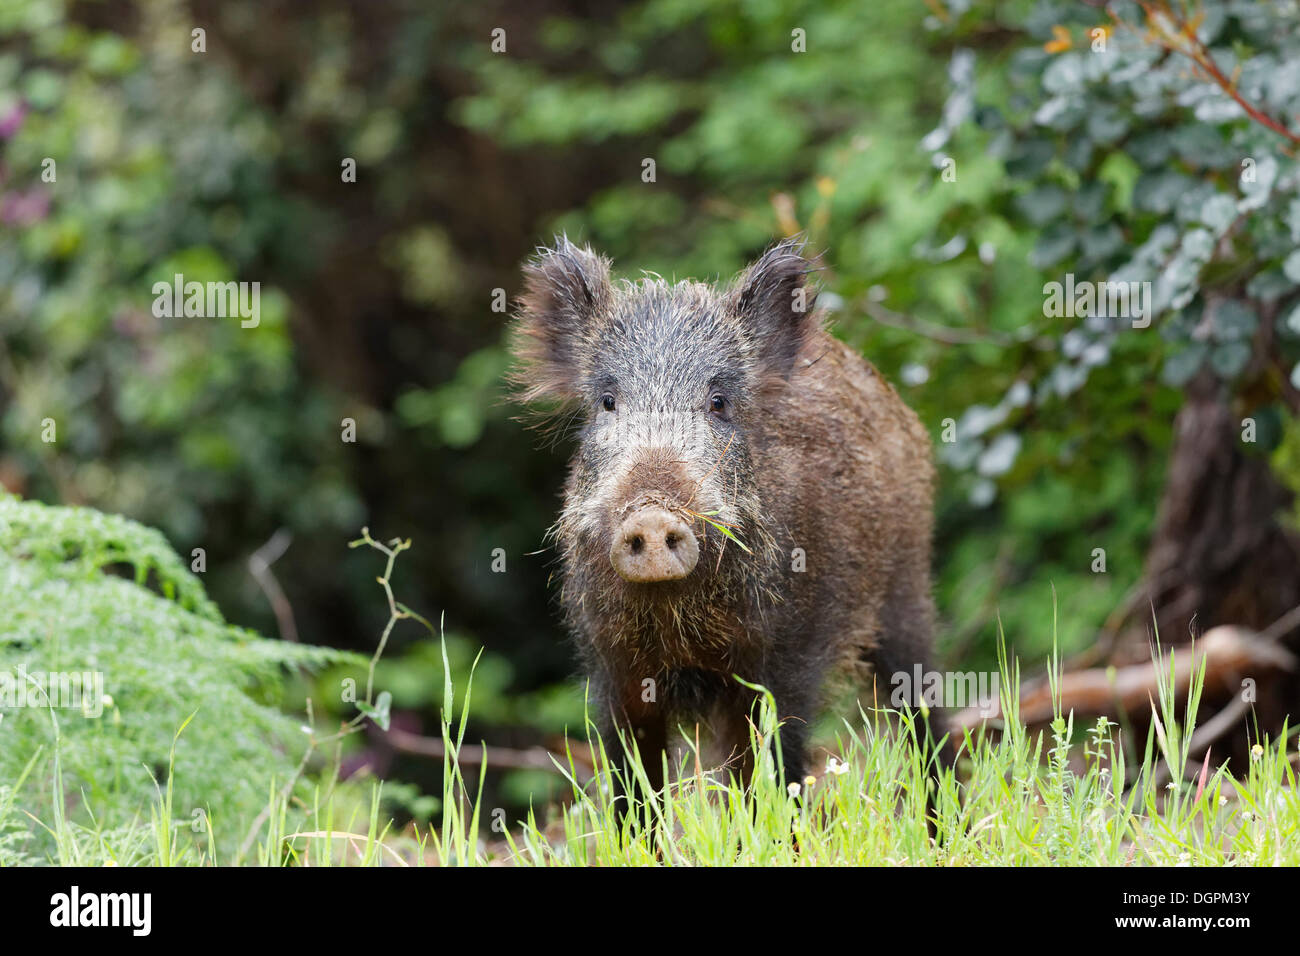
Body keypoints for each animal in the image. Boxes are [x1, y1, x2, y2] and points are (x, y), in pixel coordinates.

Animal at [511, 235, 940, 813]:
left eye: (718, 402)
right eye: (607, 401)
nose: (652, 512)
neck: (680, 622)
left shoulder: (785, 658)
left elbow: (781, 768)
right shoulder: (613, 665)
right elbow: (635, 784)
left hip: (905, 591)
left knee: (925, 714)